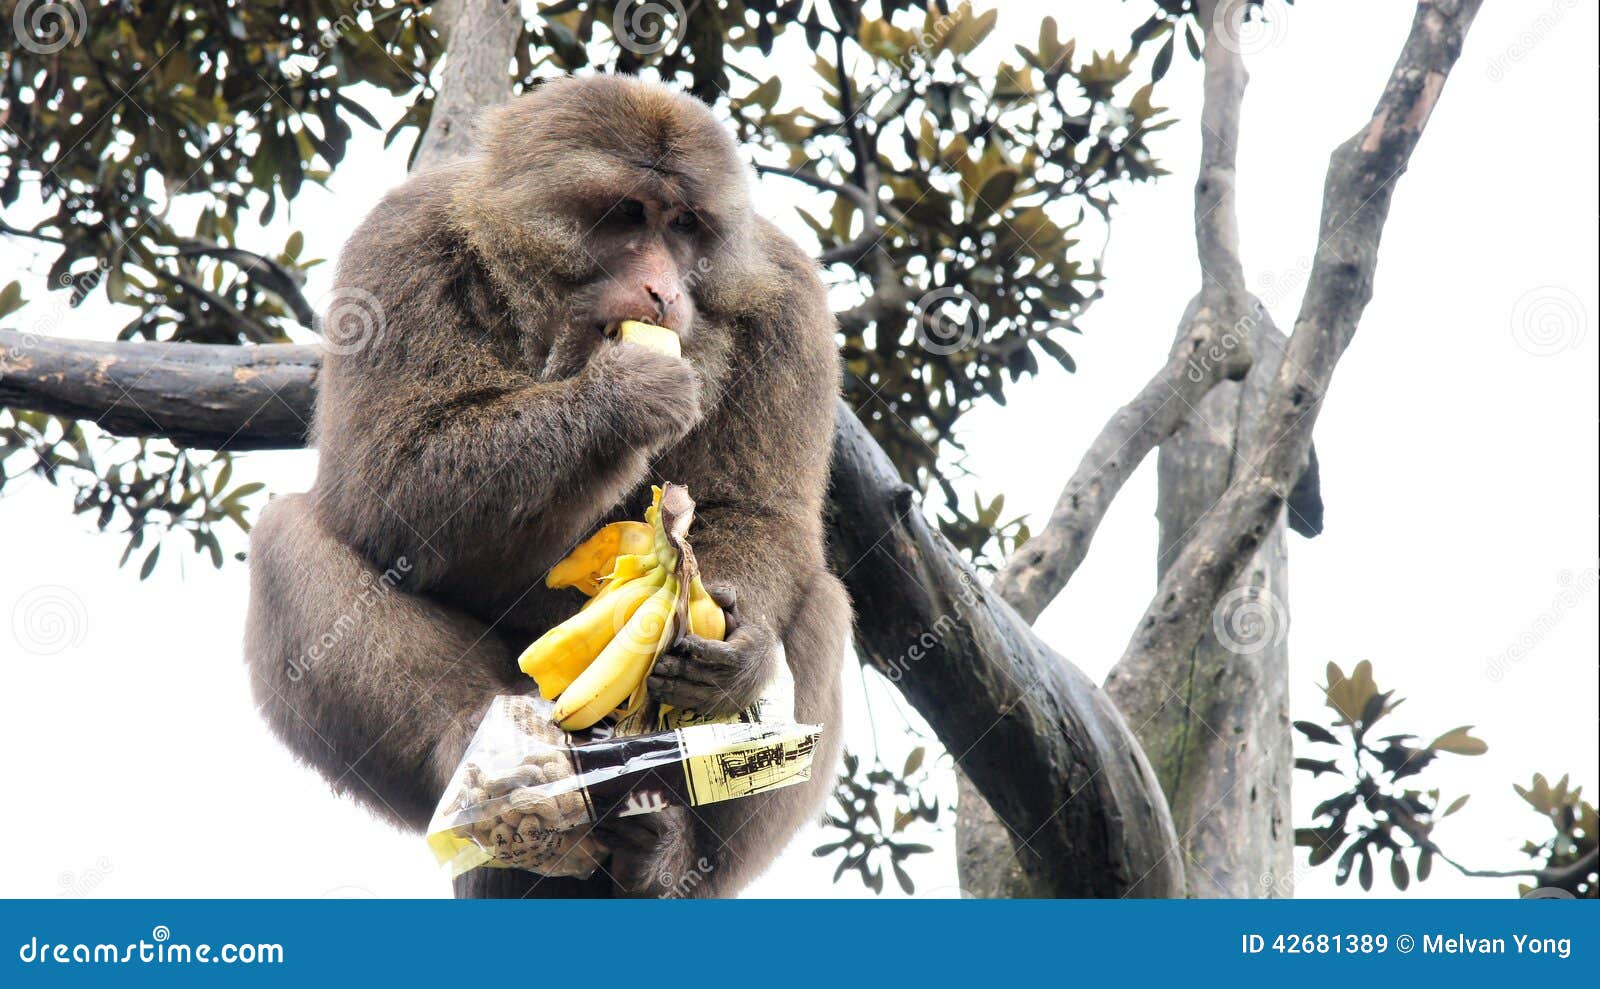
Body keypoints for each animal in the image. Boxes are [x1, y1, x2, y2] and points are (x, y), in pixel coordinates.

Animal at [243, 74, 850, 898]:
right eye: (626, 215)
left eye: (685, 226)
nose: (662, 292)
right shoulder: (404, 241)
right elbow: (382, 489)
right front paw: (618, 399)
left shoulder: (792, 305)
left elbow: (760, 513)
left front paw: (742, 653)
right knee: (289, 537)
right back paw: (502, 775)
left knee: (823, 599)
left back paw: (667, 853)